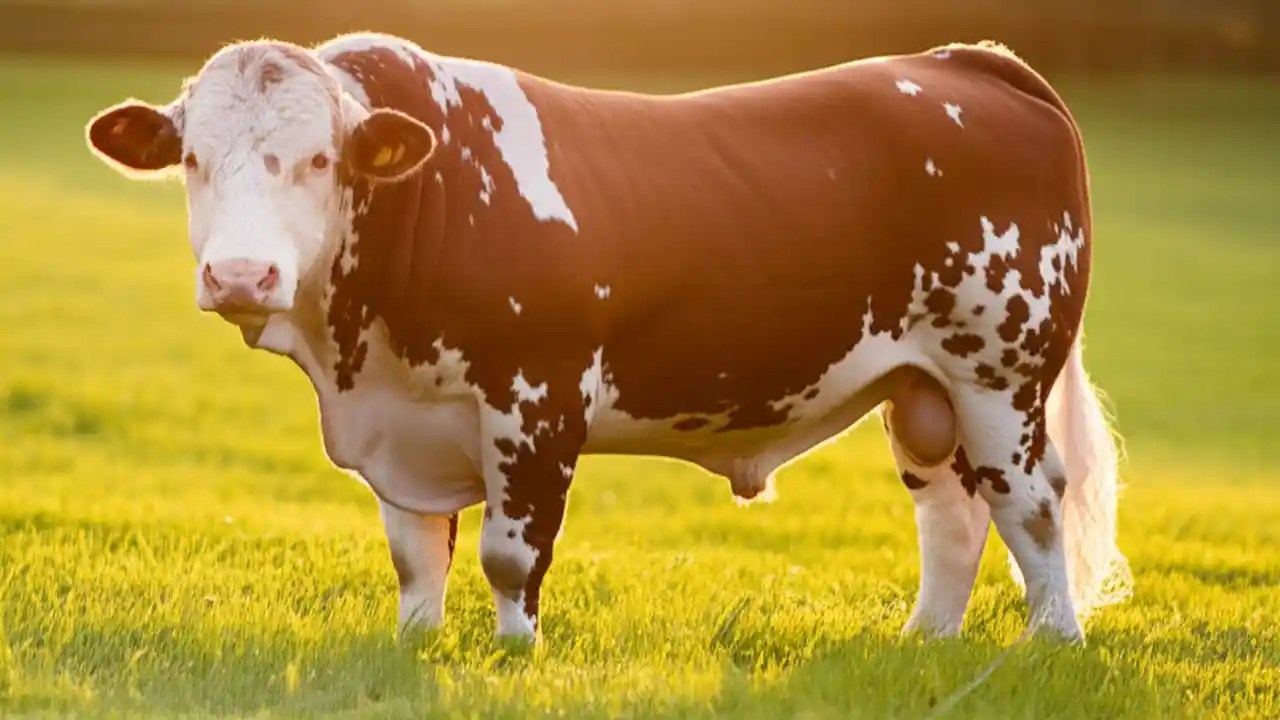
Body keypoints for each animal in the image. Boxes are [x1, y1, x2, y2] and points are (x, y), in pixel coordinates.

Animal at [86, 33, 1130, 643]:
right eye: (190, 159)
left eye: (317, 160)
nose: (240, 276)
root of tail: (965, 59)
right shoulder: (401, 427)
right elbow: (417, 557)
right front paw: (416, 648)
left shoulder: (536, 401)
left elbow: (511, 555)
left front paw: (512, 655)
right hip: (923, 391)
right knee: (953, 511)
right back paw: (925, 642)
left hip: (998, 374)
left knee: (1032, 508)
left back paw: (1050, 642)